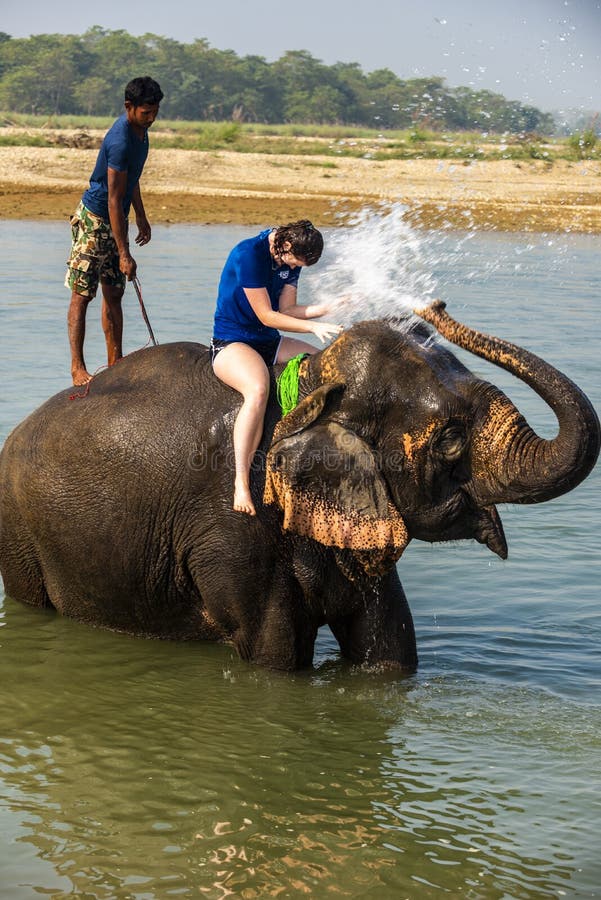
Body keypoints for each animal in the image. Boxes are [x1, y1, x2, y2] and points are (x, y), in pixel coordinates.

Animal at [0, 301, 598, 670]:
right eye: (450, 439)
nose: (436, 307)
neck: (310, 387)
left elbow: (388, 652)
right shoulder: (231, 532)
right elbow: (276, 658)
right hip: (19, 532)